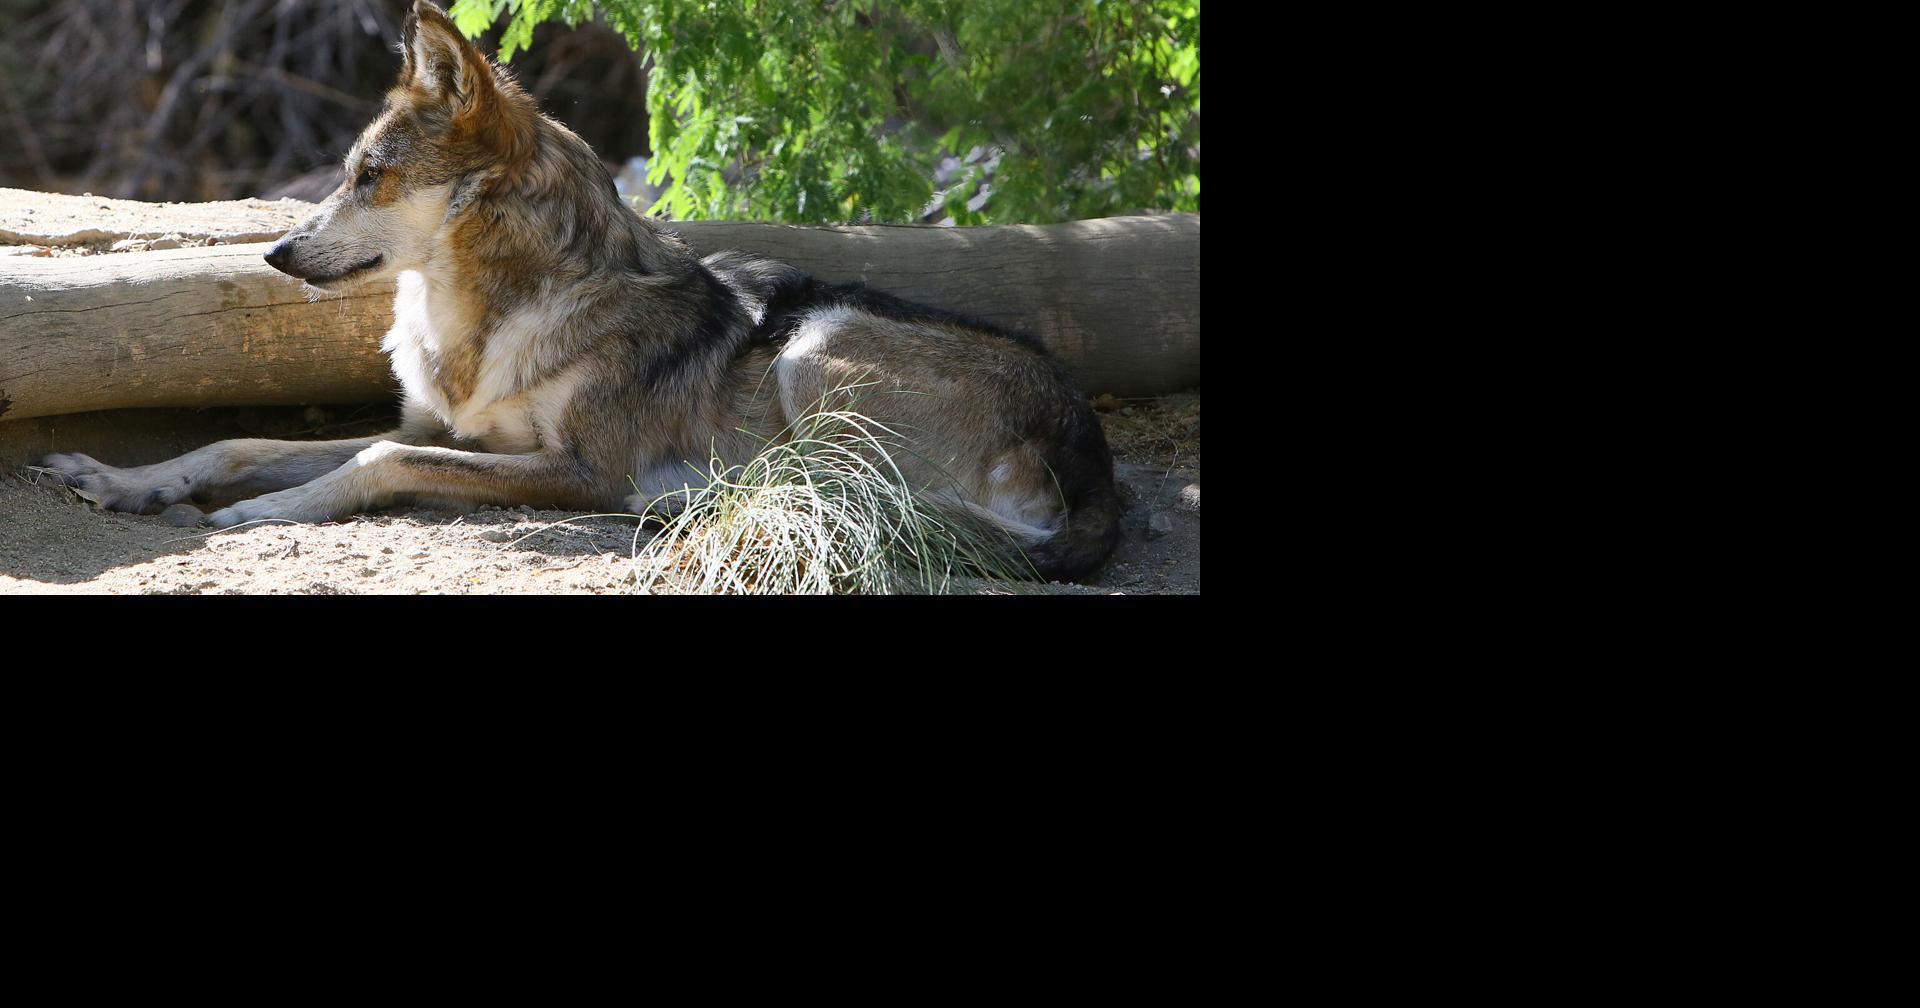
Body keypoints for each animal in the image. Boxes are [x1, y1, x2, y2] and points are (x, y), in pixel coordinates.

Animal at [39, 1, 1120, 579]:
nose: (273, 255)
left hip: (819, 343)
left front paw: (273, 510)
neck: (482, 322)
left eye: (369, 177)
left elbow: (381, 458)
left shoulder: (577, 467)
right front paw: (123, 479)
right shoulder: (459, 433)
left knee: (854, 495)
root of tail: (1095, 452)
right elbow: (236, 442)